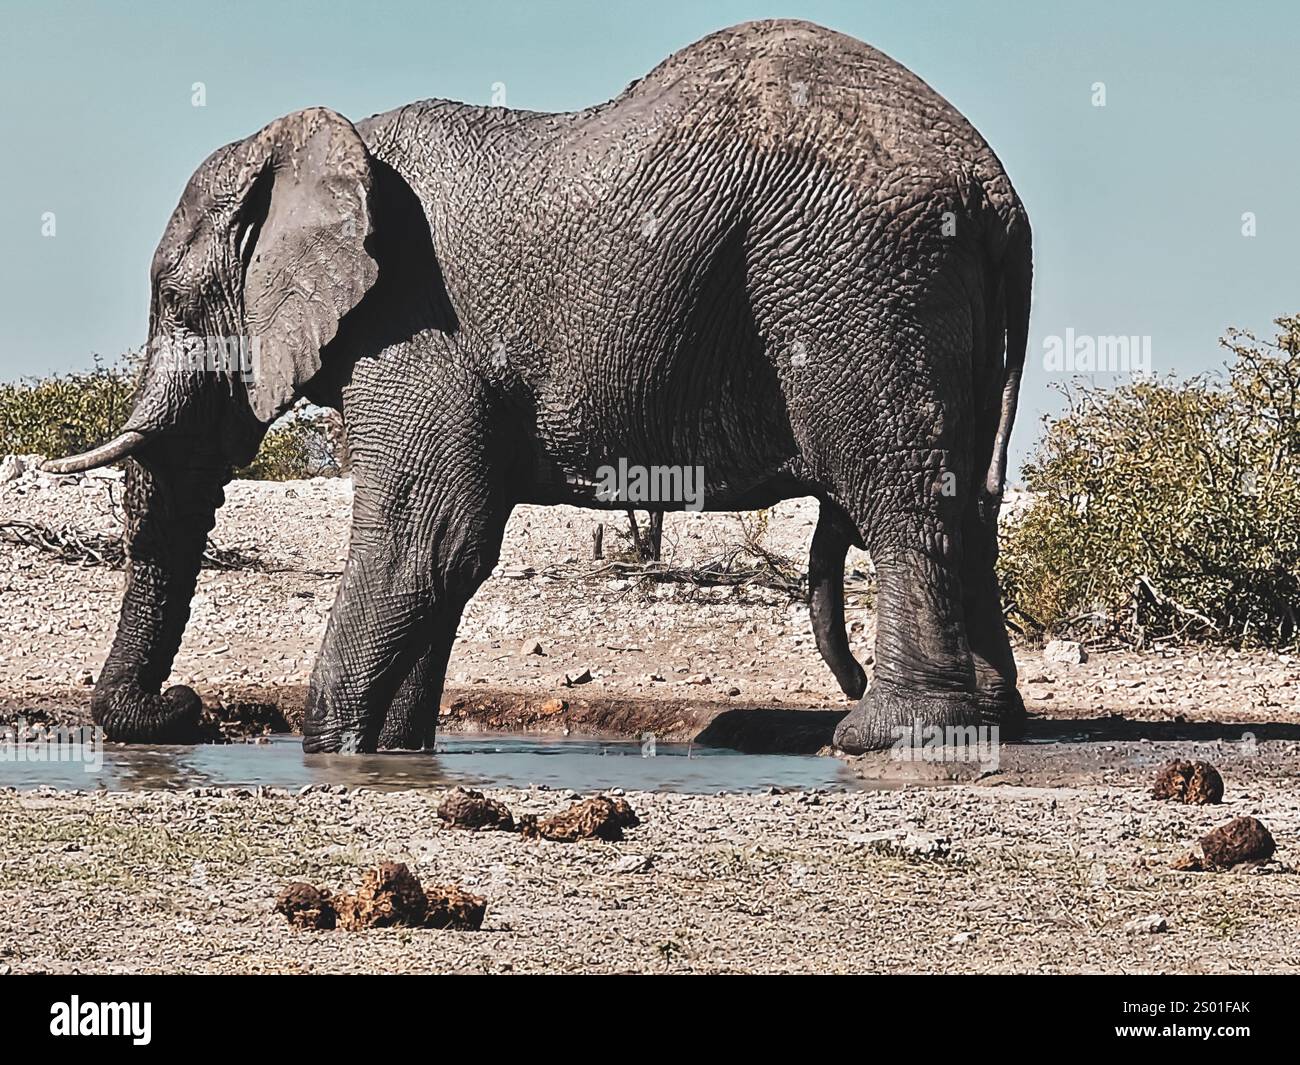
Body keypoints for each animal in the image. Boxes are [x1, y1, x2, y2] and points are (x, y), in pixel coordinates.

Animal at [43, 19, 1032, 755]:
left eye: (175, 299)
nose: (187, 708)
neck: (323, 142)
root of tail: (993, 190)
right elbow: (451, 553)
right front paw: (396, 753)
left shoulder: (417, 325)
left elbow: (426, 535)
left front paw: (336, 747)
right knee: (963, 504)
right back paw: (989, 721)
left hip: (855, 279)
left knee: (898, 493)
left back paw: (886, 733)